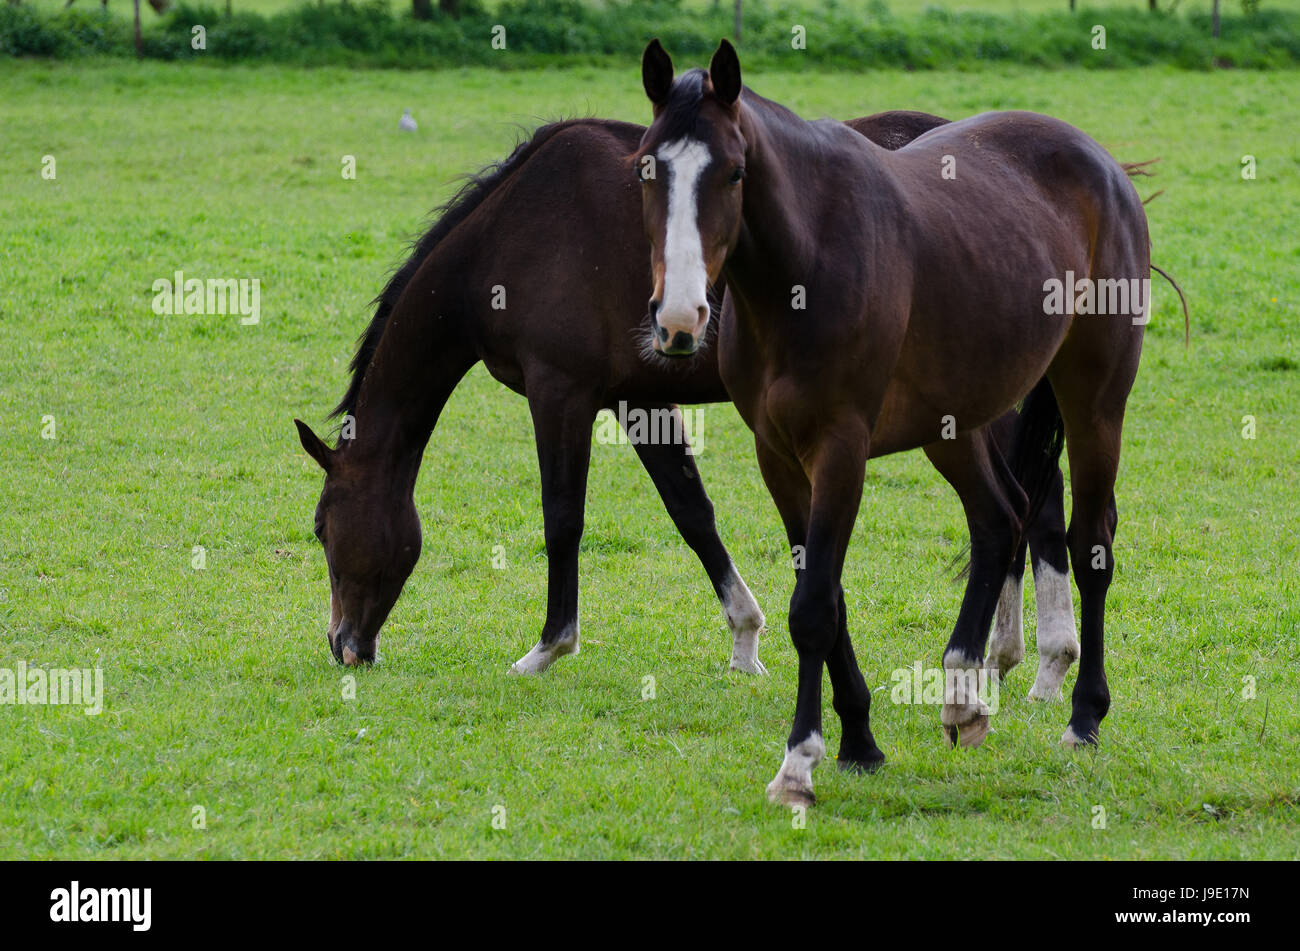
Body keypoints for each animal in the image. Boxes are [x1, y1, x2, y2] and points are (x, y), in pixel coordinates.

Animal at [293, 111, 1077, 692]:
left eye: (323, 526)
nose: (343, 644)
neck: (510, 234)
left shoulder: (561, 393)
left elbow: (563, 519)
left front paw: (549, 647)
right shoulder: (636, 400)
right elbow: (693, 514)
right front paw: (746, 639)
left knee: (1029, 508)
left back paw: (1034, 661)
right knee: (1026, 504)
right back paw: (1019, 658)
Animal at [635, 39, 1168, 805]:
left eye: (734, 173)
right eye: (646, 168)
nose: (679, 318)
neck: (803, 270)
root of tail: (1104, 167)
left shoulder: (841, 448)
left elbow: (813, 609)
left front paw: (799, 762)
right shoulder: (779, 456)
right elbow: (826, 596)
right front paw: (858, 740)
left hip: (1094, 399)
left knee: (1090, 541)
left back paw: (1084, 717)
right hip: (955, 424)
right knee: (999, 519)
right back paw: (964, 695)